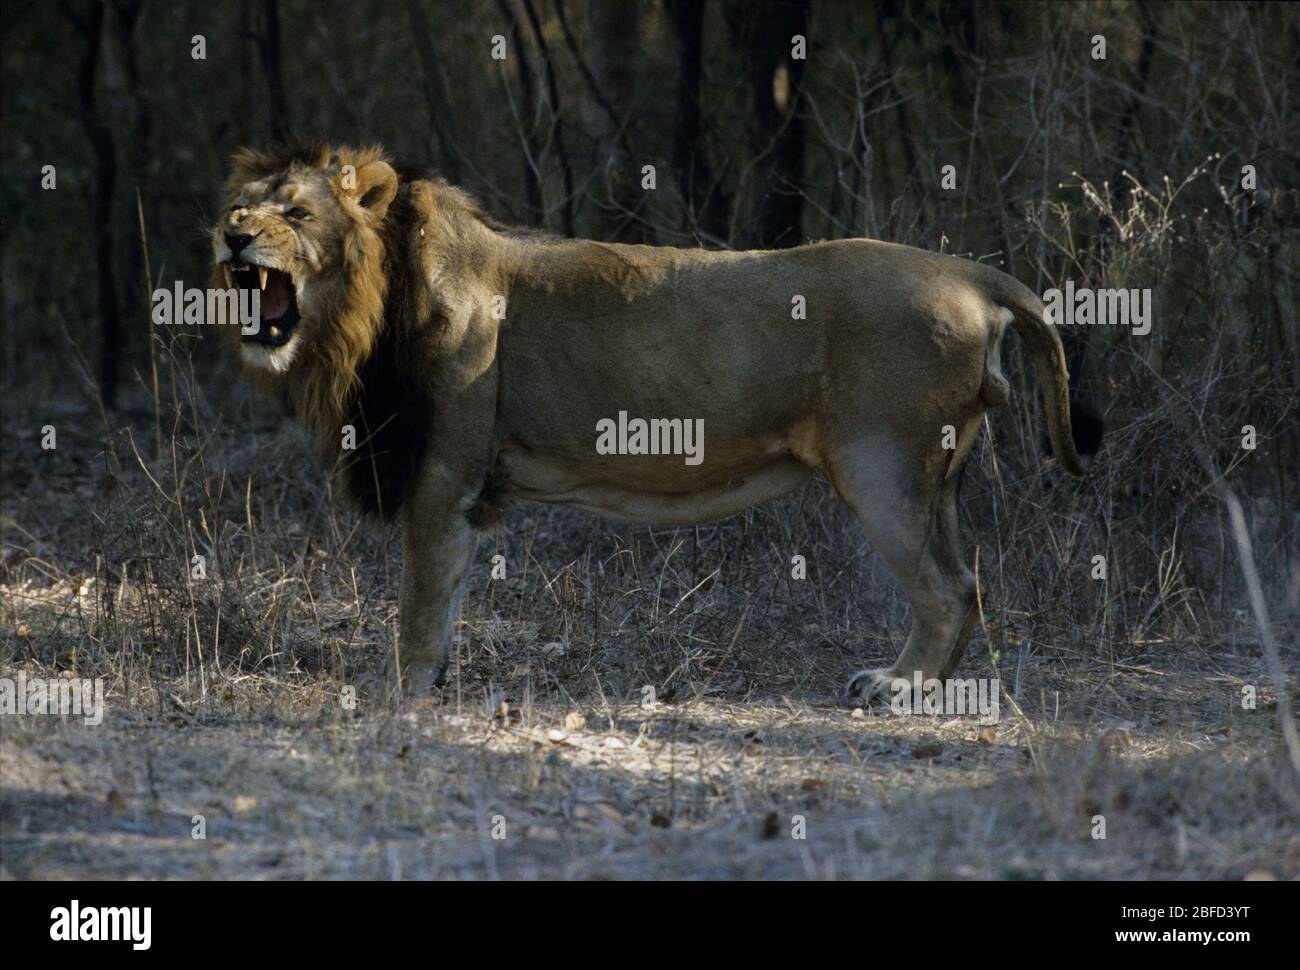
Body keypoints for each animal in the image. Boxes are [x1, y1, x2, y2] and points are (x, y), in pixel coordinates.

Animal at [213, 141, 1097, 703]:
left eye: (295, 212)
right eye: (240, 206)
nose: (230, 233)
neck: (361, 314)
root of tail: (969, 273)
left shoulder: (441, 478)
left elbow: (418, 606)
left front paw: (395, 692)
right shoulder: (455, 491)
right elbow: (448, 598)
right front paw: (428, 686)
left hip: (883, 470)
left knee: (948, 590)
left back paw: (896, 687)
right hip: (932, 478)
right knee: (966, 588)